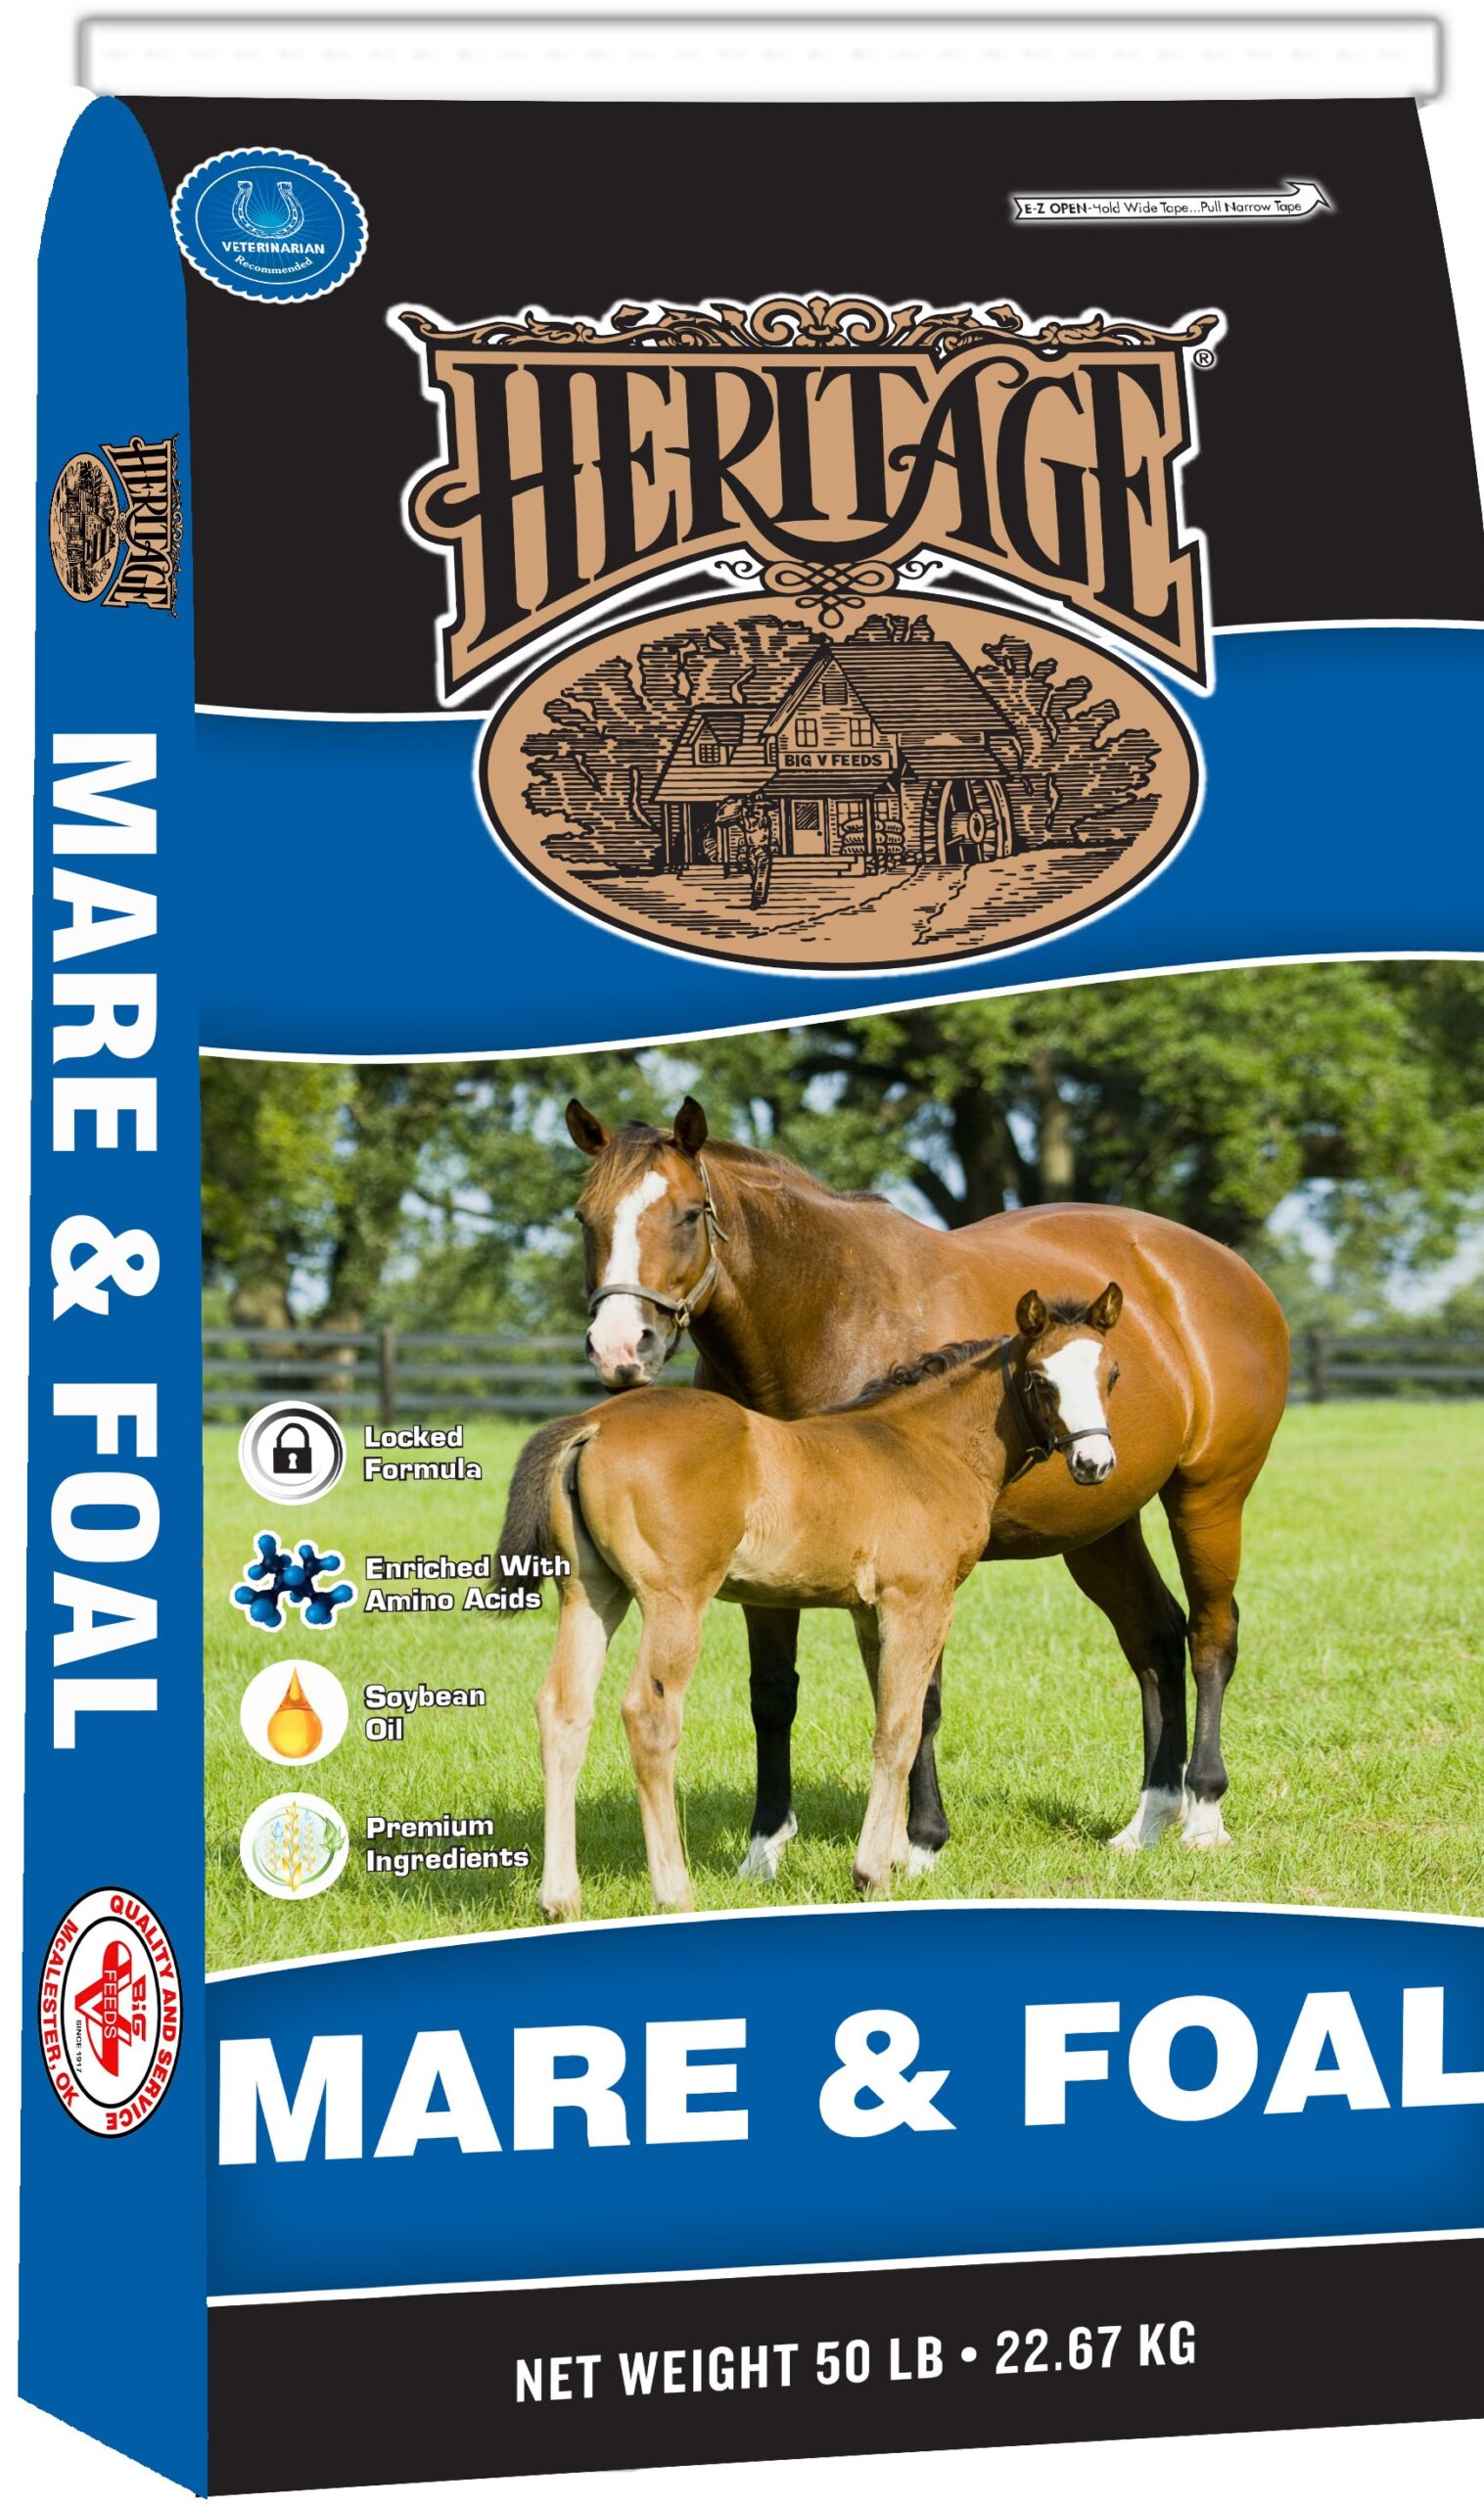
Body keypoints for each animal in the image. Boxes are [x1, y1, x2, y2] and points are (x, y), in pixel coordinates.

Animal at [500, 1295, 1124, 1915]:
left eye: (1111, 1374)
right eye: (1040, 1380)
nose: (1094, 1462)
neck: (927, 1446)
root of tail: (594, 1424)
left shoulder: (870, 1613)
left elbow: (892, 1715)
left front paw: (891, 1855)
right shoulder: (919, 1602)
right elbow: (900, 1730)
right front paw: (873, 1872)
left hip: (591, 1593)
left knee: (563, 1710)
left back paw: (560, 1899)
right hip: (674, 1601)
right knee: (648, 1718)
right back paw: (674, 1892)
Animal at [565, 1095, 1290, 1868]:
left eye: (687, 1214)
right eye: (585, 1217)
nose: (618, 1348)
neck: (827, 1312)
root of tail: (1227, 1270)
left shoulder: (913, 1572)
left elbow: (919, 1701)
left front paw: (918, 1842)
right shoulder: (770, 1573)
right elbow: (773, 1694)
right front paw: (763, 1849)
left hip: (1208, 1496)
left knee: (1211, 1634)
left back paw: (1203, 1812)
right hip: (1100, 1524)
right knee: (1154, 1638)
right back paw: (1147, 1821)